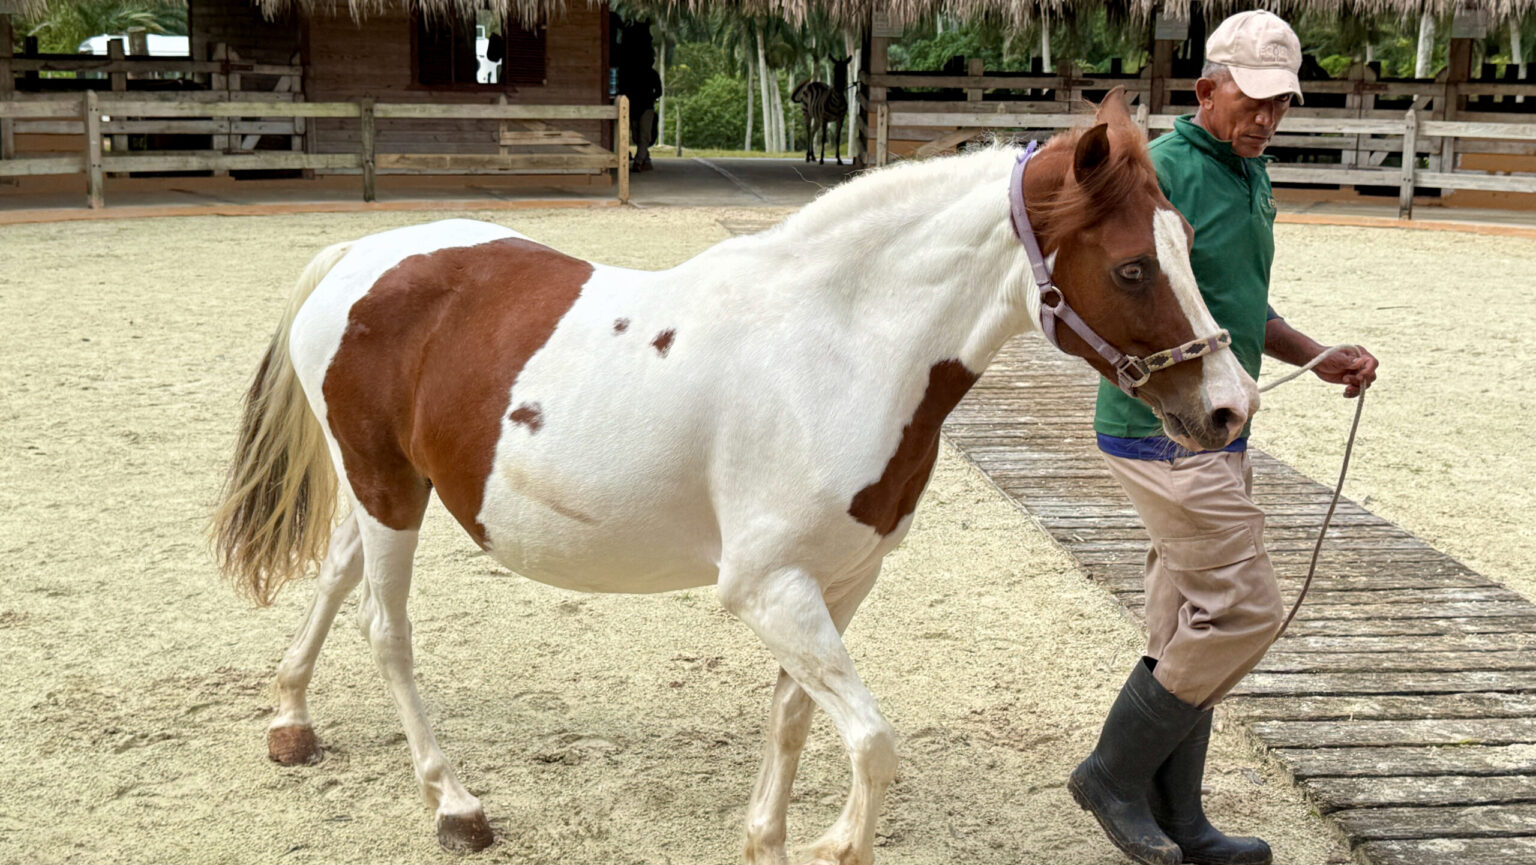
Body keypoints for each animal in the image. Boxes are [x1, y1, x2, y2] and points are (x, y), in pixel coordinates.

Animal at [212, 88, 1255, 863]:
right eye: (1131, 268)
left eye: (1186, 247)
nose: (1229, 408)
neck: (835, 348)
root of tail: (362, 253)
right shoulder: (765, 586)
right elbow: (872, 743)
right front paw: (837, 844)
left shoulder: (838, 581)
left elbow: (794, 717)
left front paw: (770, 839)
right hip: (387, 489)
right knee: (386, 630)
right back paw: (454, 803)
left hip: (386, 486)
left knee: (334, 576)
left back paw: (290, 721)